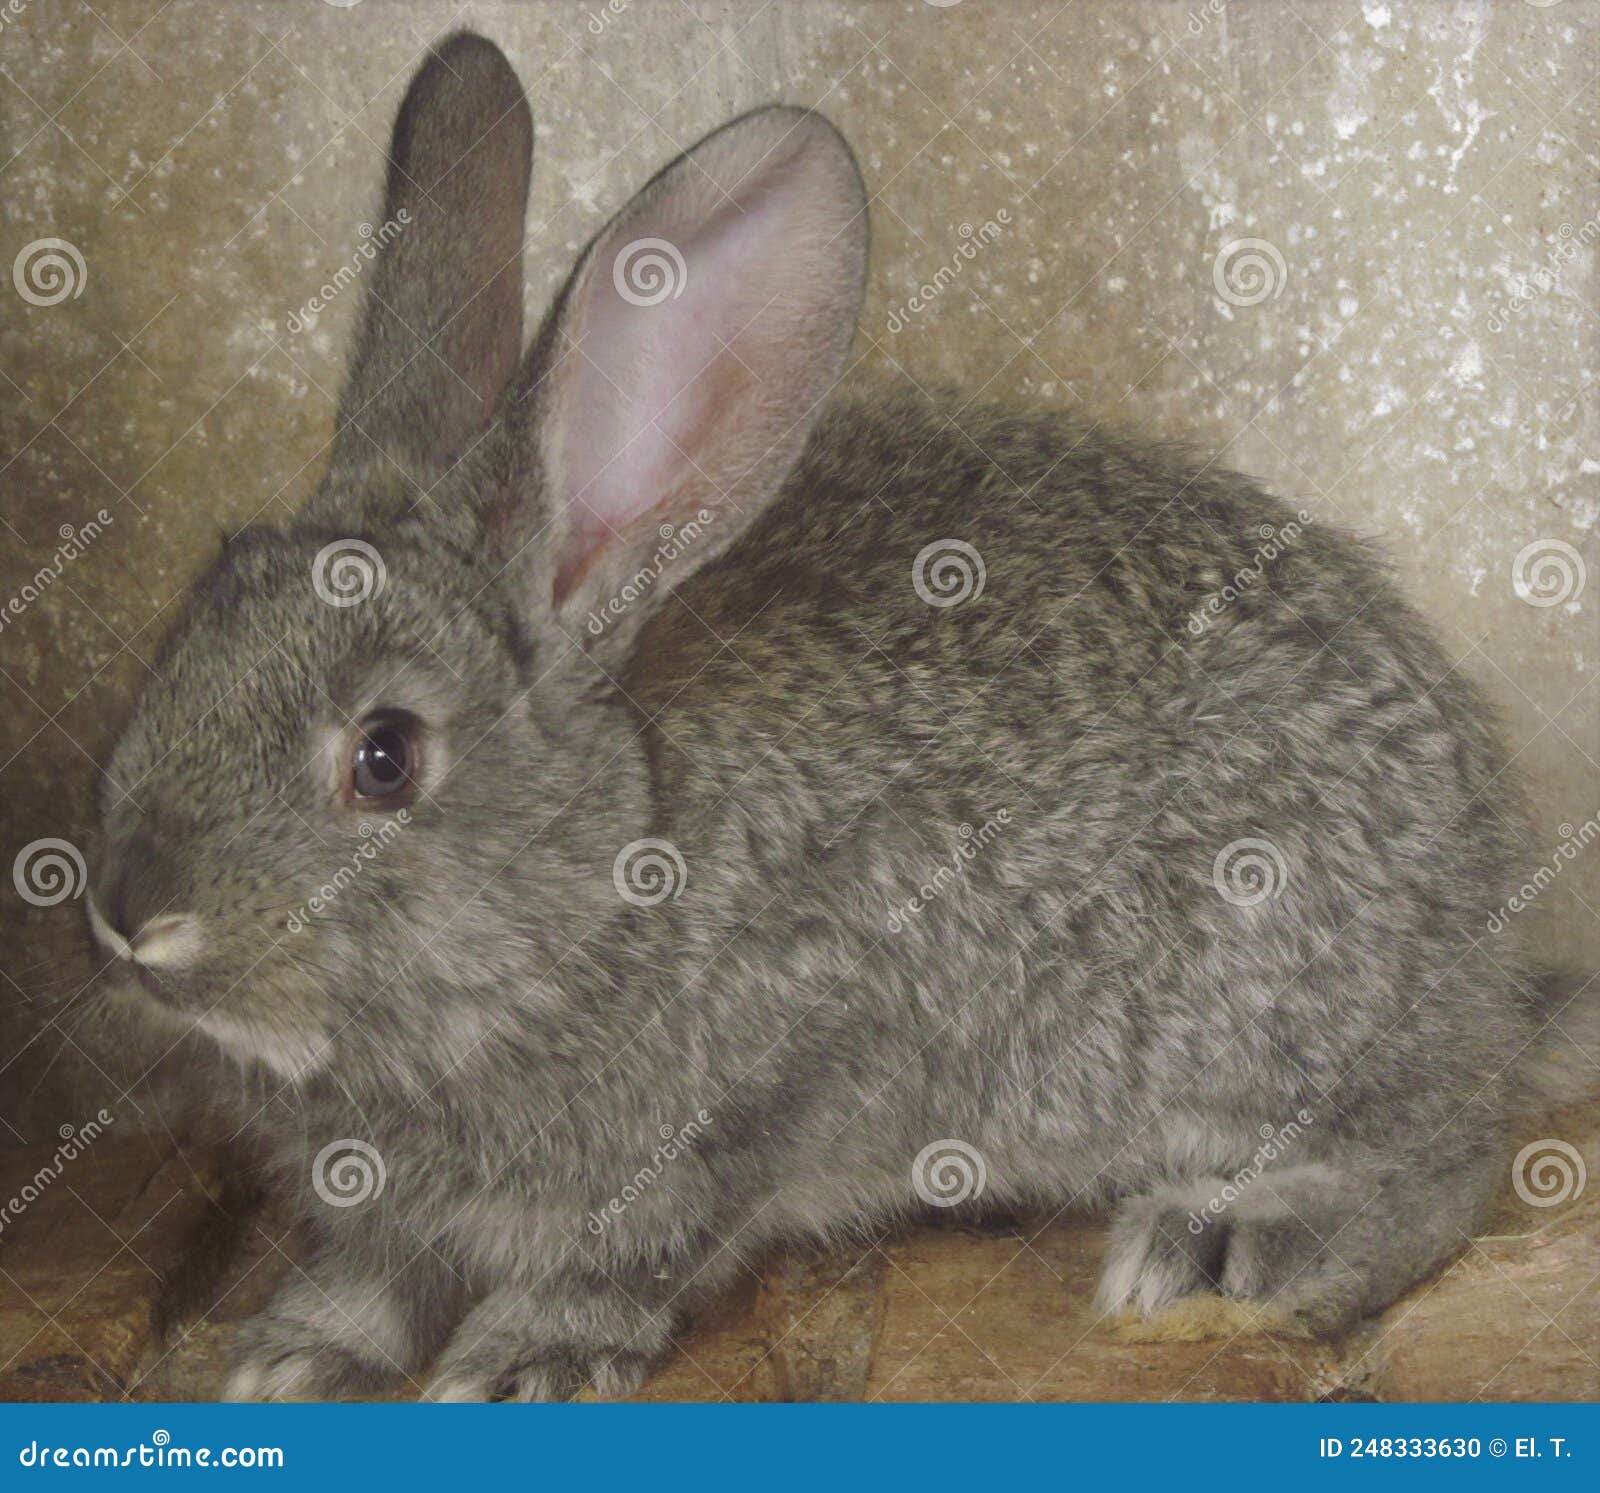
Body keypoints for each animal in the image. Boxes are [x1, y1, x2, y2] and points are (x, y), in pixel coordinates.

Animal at [85, 32, 1595, 1402]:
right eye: (185, 638)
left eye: (385, 757)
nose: (130, 913)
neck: (597, 889)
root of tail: (1484, 930)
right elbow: (374, 1269)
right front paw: (294, 1351)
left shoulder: (774, 1089)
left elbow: (629, 1256)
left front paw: (523, 1359)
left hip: (1268, 1001)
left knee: (1443, 1150)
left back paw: (1226, 1243)